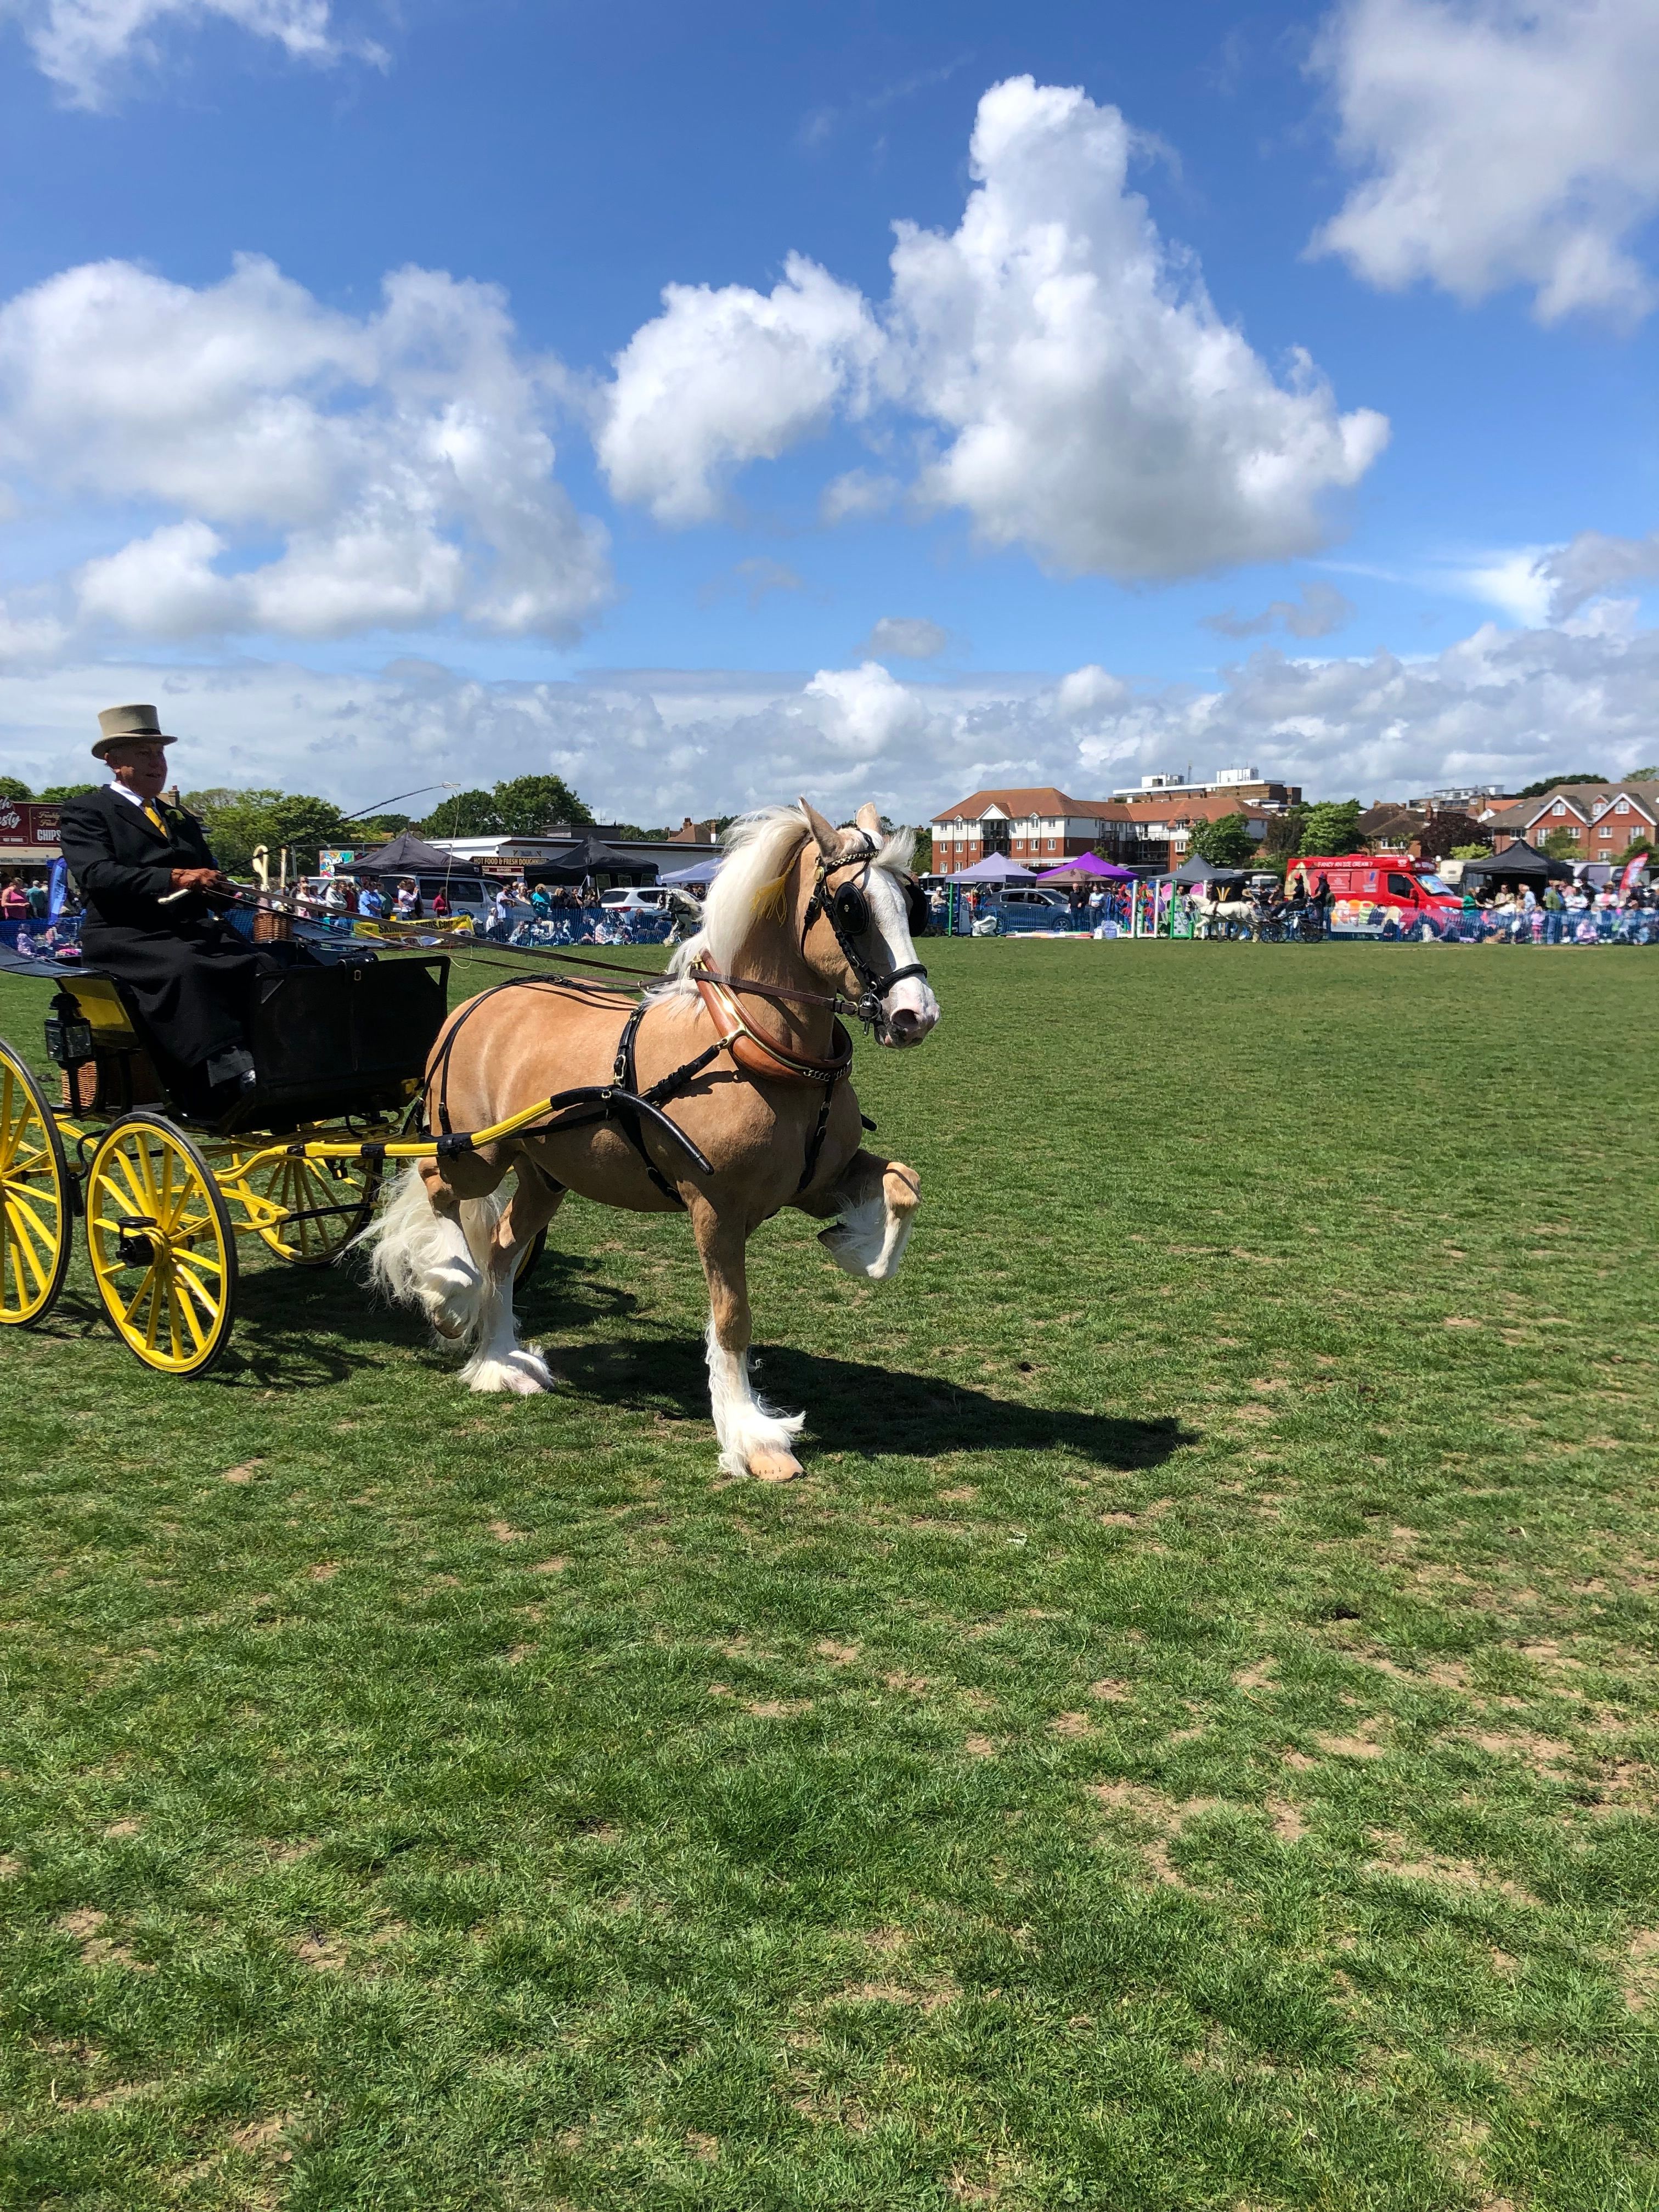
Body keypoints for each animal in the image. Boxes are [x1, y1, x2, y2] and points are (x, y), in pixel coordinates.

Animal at [363, 801, 941, 1482]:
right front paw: (752, 1437)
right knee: (438, 1189)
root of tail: (477, 1002)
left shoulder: (816, 1182)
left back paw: (500, 1359)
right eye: (850, 907)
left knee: (502, 1251)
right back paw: (449, 1294)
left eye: (912, 901)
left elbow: (903, 1184)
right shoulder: (716, 1209)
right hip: (475, 1151)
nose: (916, 1015)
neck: (756, 1051)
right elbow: (733, 1318)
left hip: (544, 1175)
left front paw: (858, 1249)